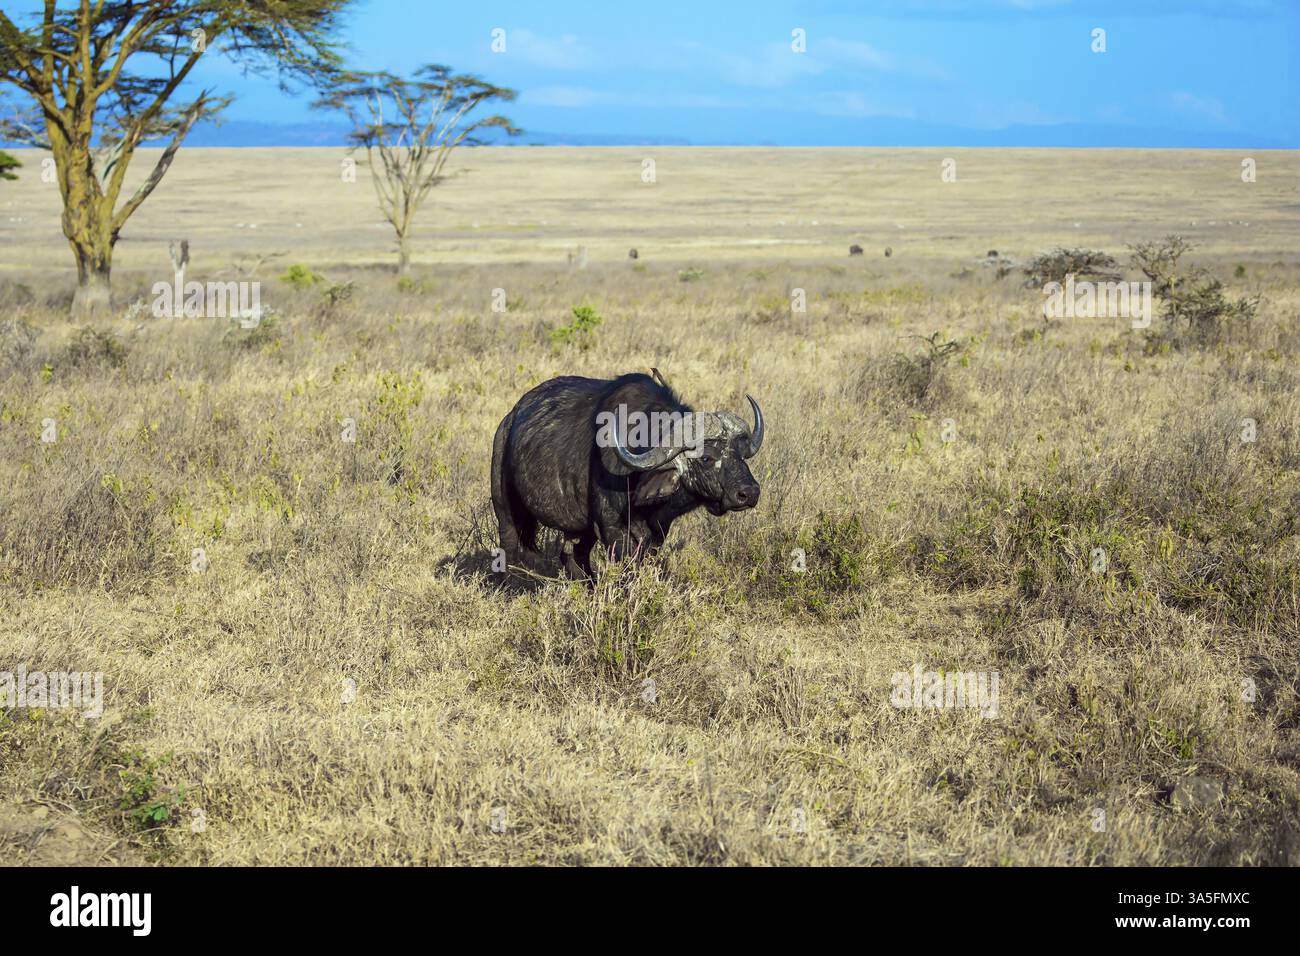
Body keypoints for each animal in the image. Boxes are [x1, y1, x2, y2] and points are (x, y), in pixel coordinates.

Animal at [490, 373, 764, 579]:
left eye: (741, 454)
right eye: (706, 457)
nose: (749, 493)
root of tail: (509, 420)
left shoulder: (656, 533)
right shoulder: (612, 529)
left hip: (582, 530)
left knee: (573, 557)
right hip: (505, 511)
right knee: (509, 550)